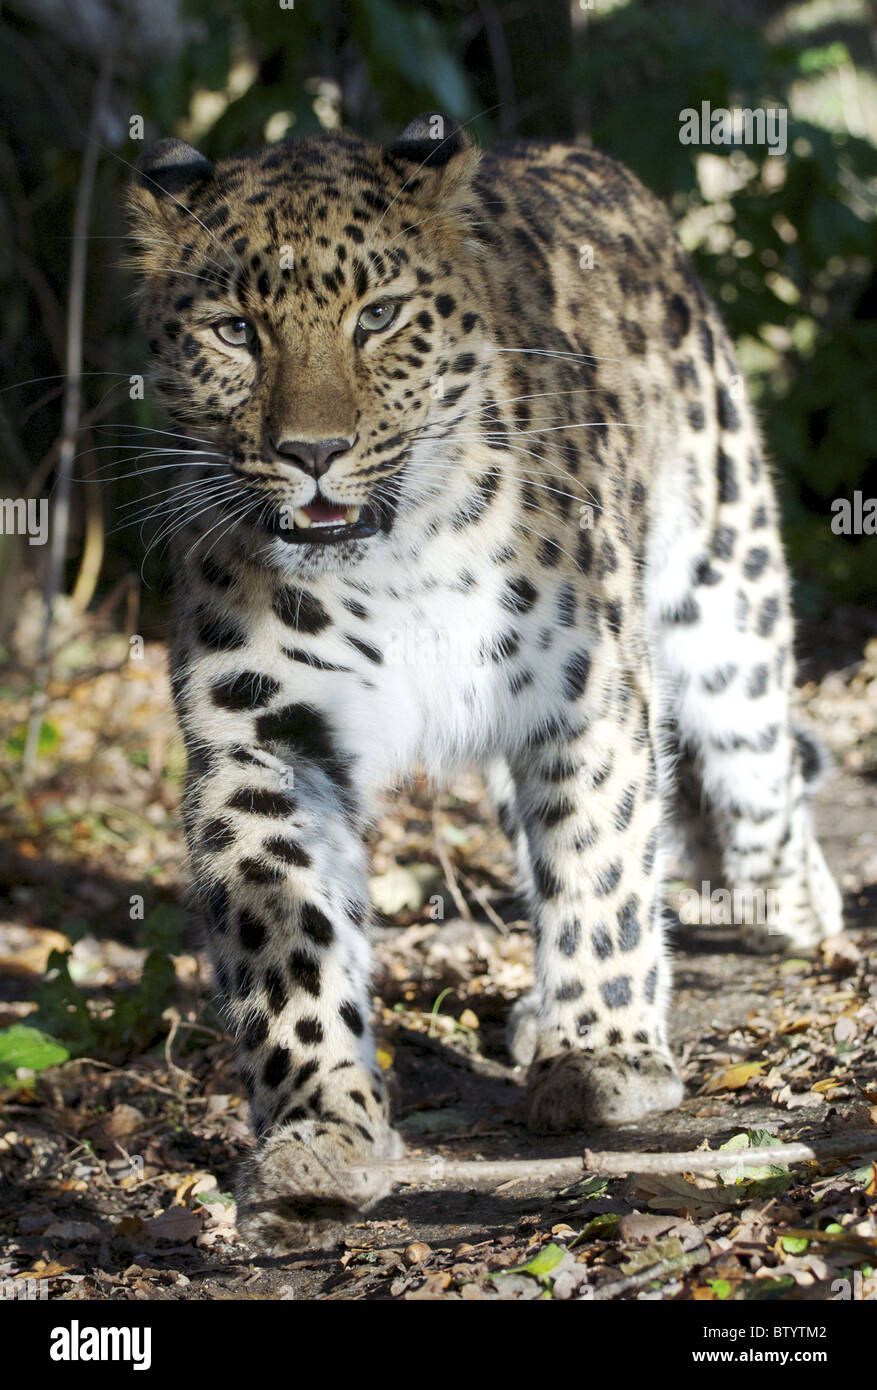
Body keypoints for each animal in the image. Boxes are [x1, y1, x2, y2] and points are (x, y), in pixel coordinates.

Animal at [124, 113, 843, 1255]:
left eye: (377, 316)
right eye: (236, 332)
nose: (313, 452)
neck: (392, 563)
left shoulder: (586, 690)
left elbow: (601, 867)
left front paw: (604, 1060)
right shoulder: (263, 738)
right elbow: (288, 937)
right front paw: (315, 1136)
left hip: (725, 599)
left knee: (757, 780)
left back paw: (798, 907)